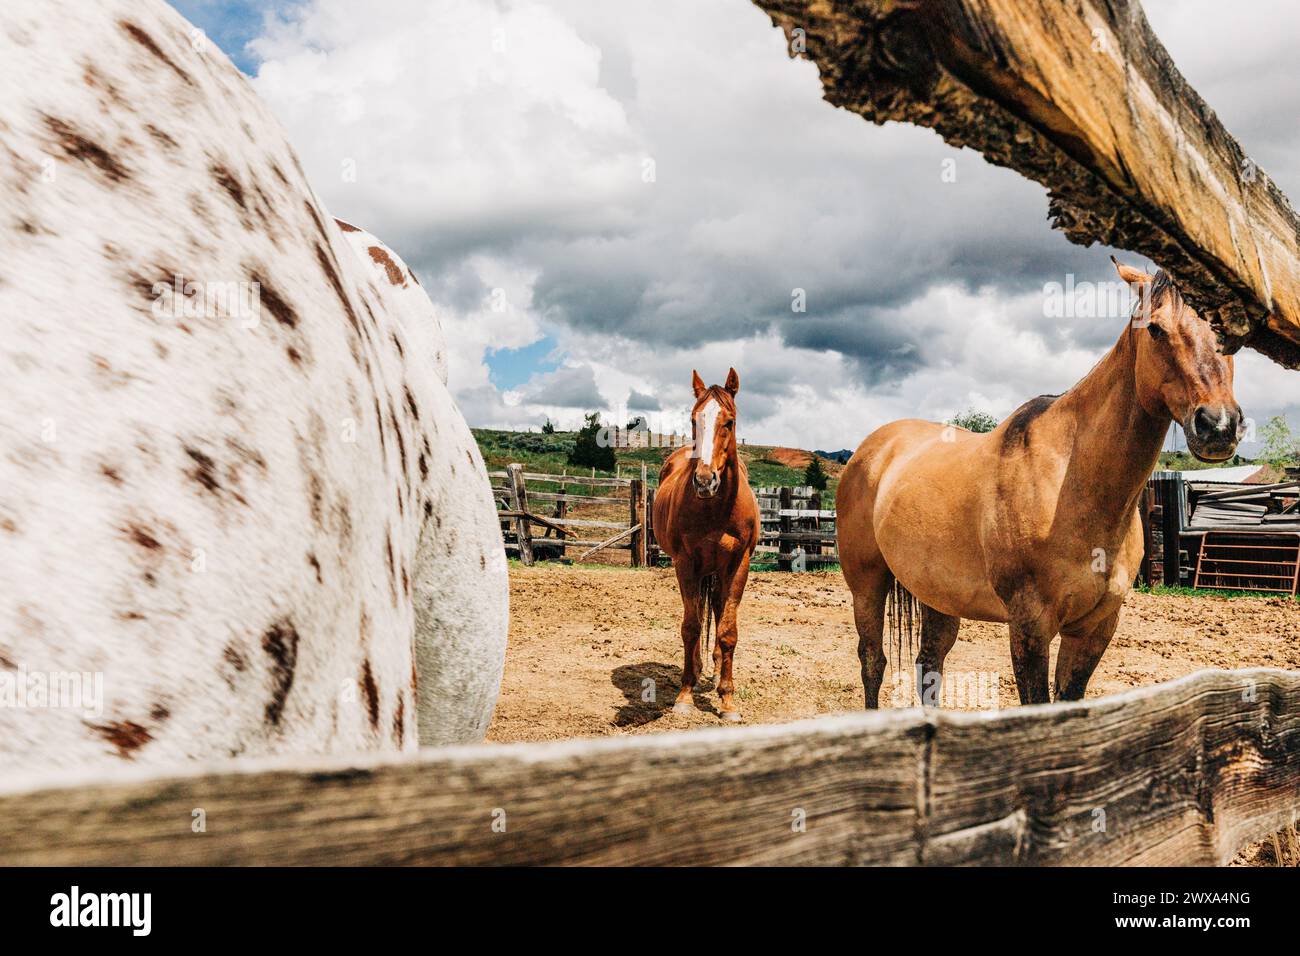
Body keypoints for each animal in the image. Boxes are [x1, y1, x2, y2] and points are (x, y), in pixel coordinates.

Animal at [653, 369, 760, 721]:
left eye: (729, 421)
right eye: (693, 420)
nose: (704, 481)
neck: (716, 509)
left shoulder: (739, 564)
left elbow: (727, 631)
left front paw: (728, 700)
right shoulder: (685, 563)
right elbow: (690, 626)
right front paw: (685, 695)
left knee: (715, 608)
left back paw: (714, 673)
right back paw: (700, 670)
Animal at [837, 259, 1244, 708]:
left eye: (1232, 338)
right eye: (1155, 329)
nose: (1218, 426)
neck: (1071, 482)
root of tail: (871, 450)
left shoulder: (1094, 628)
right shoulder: (1030, 626)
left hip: (937, 593)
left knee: (930, 663)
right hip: (866, 582)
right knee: (872, 662)